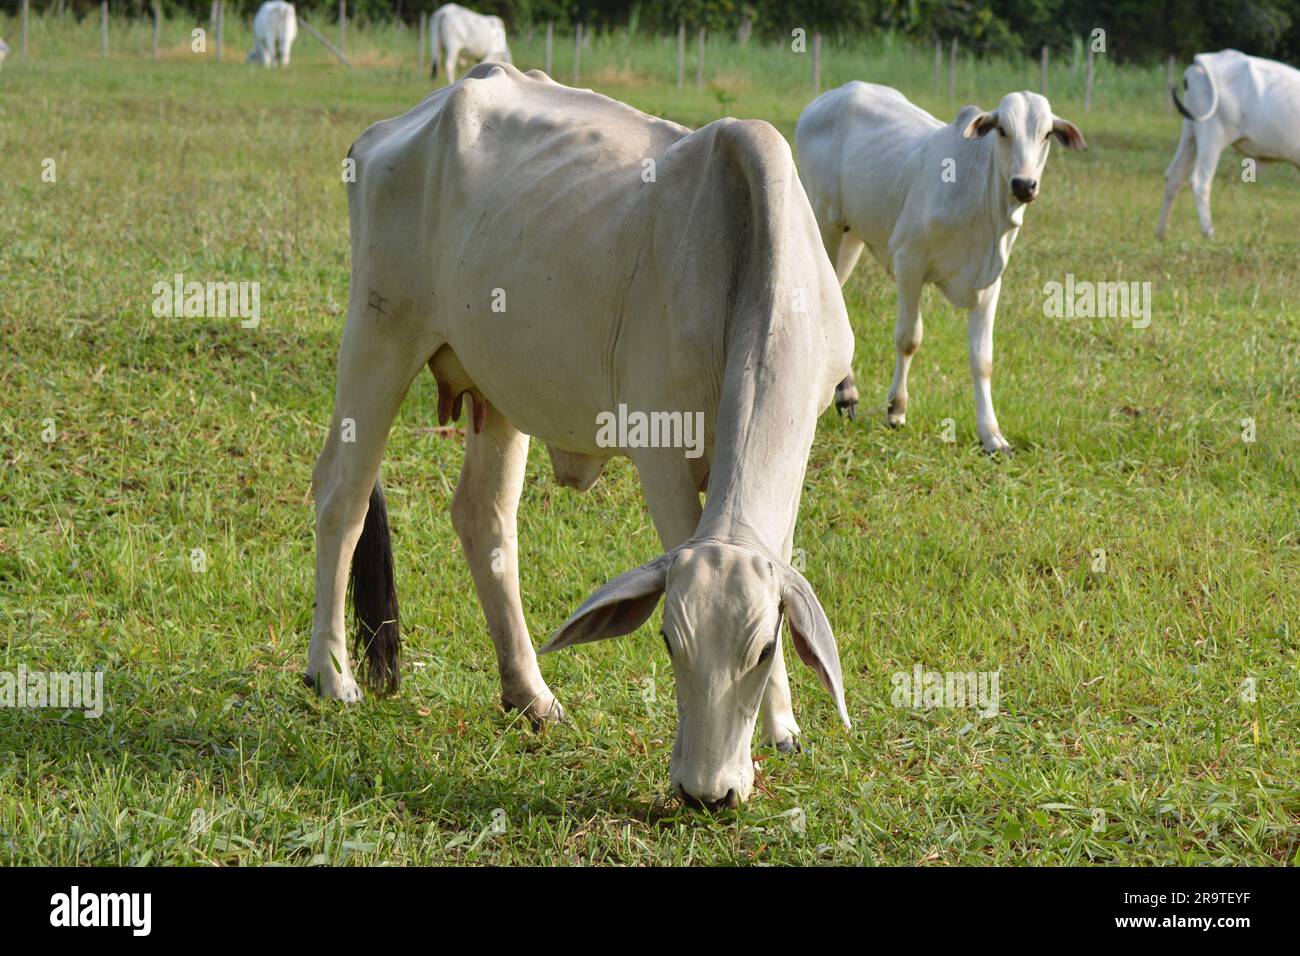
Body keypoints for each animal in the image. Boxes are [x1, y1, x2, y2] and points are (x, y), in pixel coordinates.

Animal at [306, 64, 854, 809]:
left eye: (765, 649)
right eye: (669, 642)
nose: (705, 794)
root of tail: (397, 124)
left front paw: (784, 726)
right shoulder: (659, 443)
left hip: (498, 387)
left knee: (482, 516)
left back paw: (529, 693)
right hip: (378, 332)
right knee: (343, 495)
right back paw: (332, 675)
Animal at [796, 83, 1085, 454]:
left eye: (1047, 133)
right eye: (1002, 130)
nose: (1024, 184)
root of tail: (829, 97)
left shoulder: (989, 285)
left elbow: (983, 360)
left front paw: (991, 435)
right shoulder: (908, 261)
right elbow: (909, 338)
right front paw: (896, 410)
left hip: (852, 235)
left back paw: (845, 392)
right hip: (824, 222)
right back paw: (843, 392)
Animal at [1157, 50, 1300, 240]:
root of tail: (1208, 59)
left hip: (1191, 133)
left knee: (1174, 176)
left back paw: (1161, 233)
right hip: (1212, 134)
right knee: (1200, 181)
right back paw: (1209, 234)